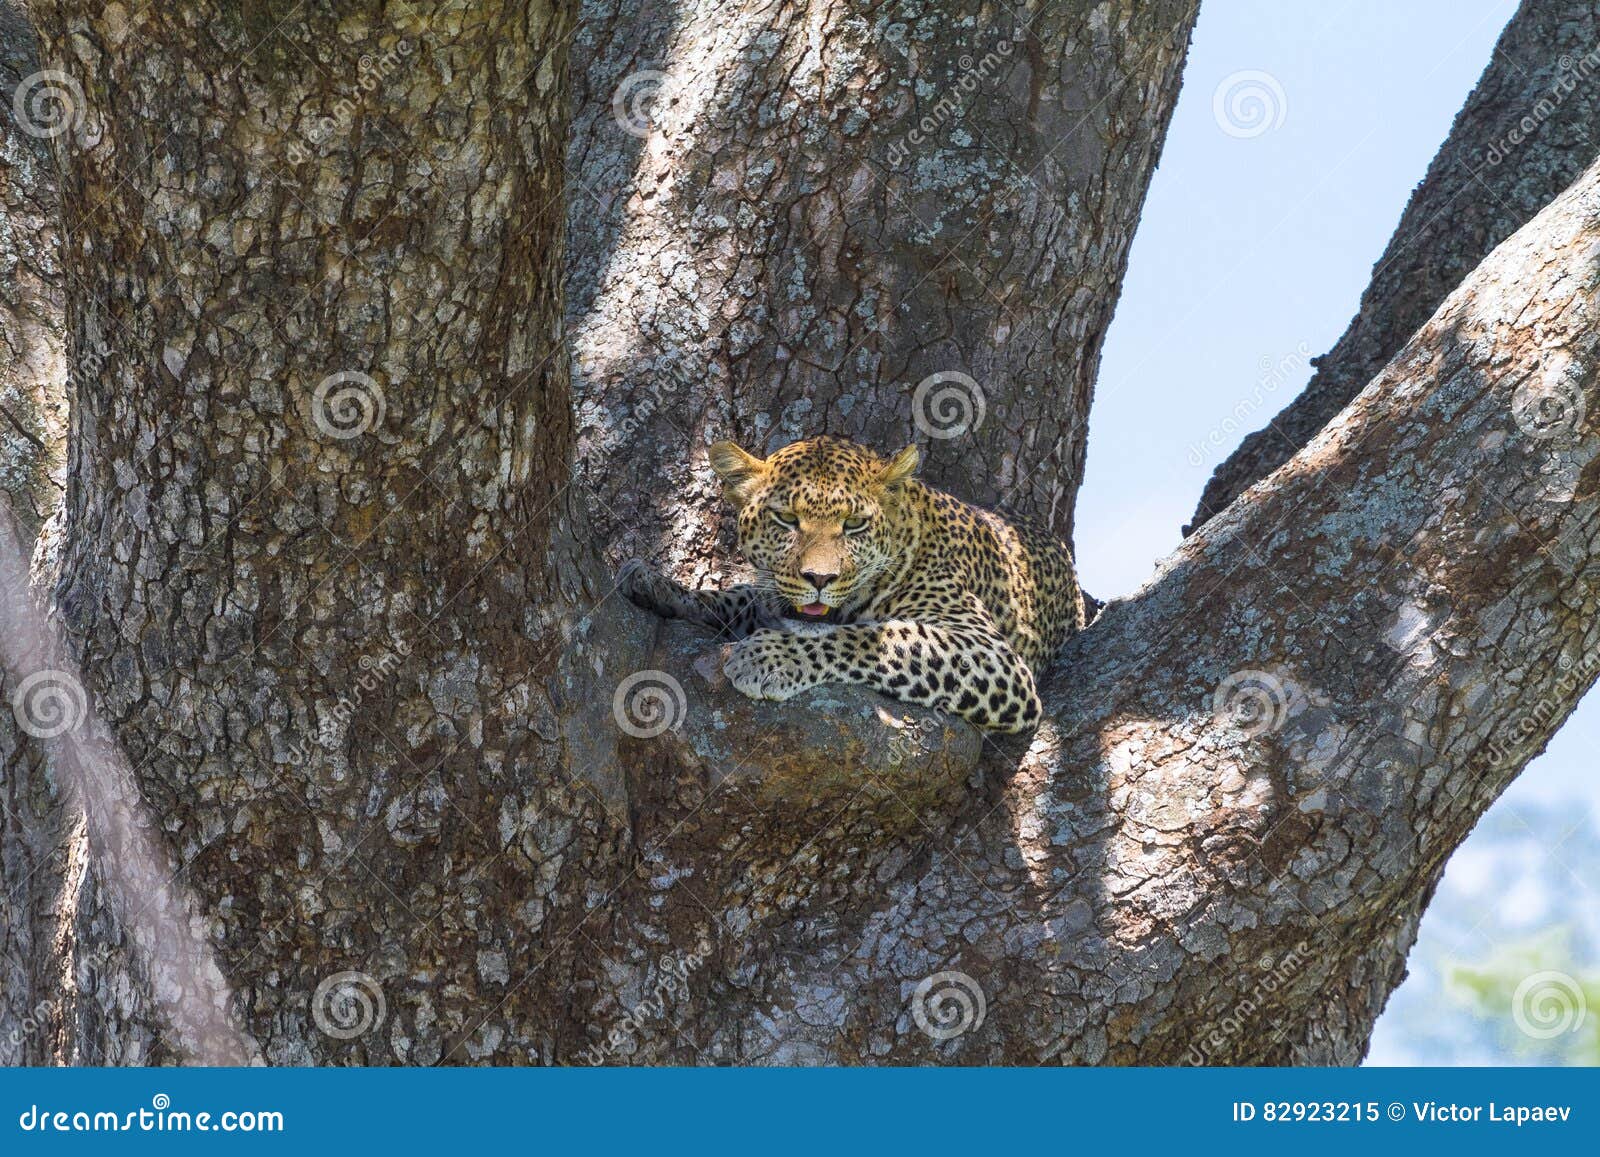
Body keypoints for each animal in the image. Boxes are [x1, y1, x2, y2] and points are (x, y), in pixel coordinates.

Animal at [618, 436, 1084, 733]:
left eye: (855, 524)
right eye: (786, 519)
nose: (819, 578)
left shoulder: (991, 653)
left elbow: (875, 637)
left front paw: (768, 657)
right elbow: (736, 597)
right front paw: (657, 584)